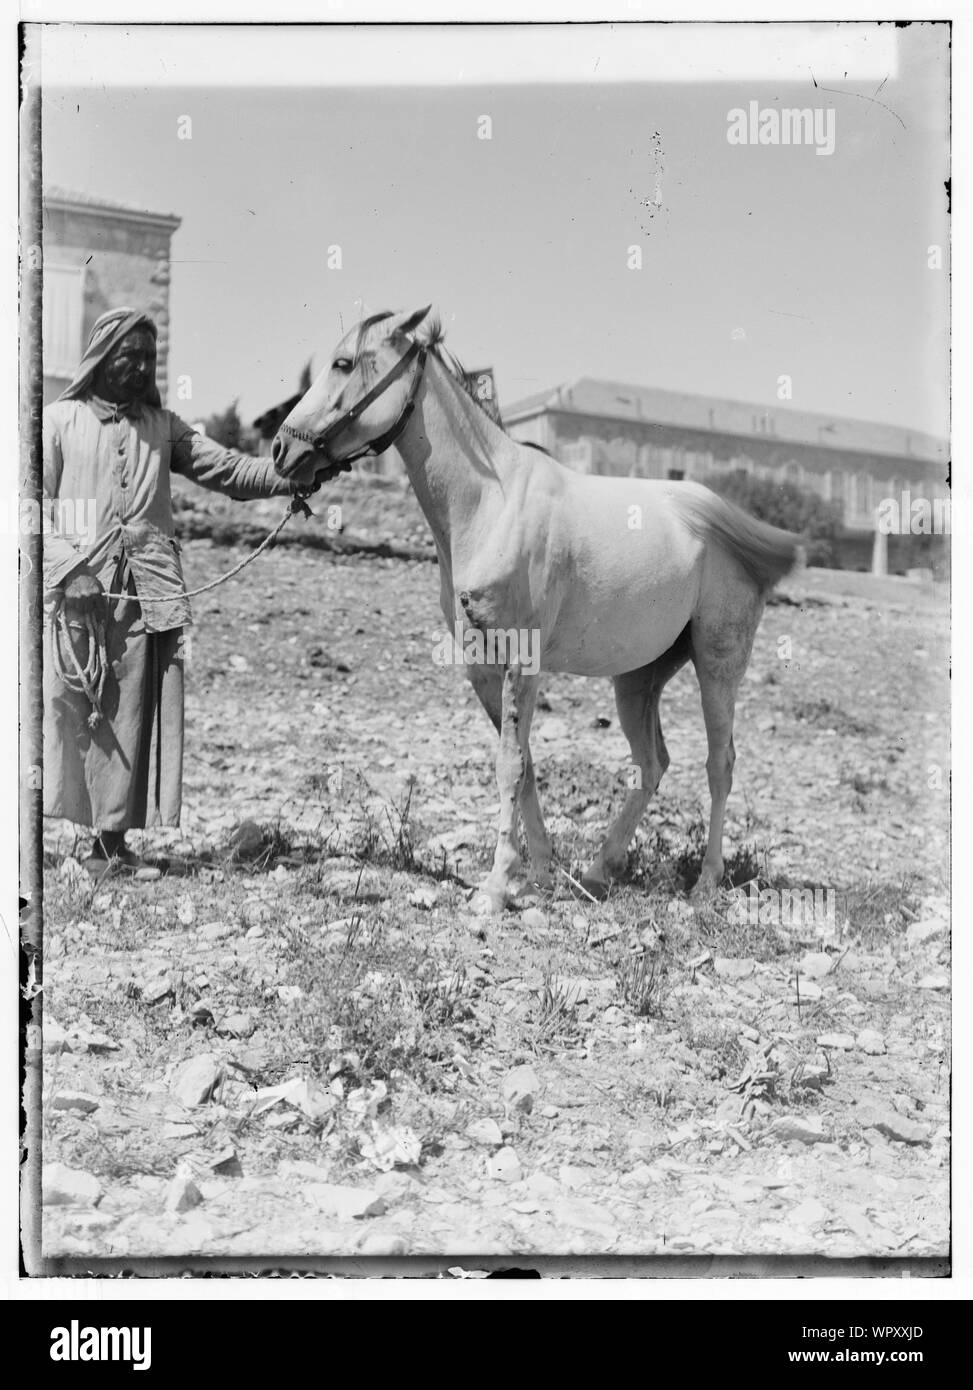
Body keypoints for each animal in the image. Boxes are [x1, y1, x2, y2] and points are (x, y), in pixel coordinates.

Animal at [272, 307, 801, 917]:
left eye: (343, 362)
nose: (281, 451)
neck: (490, 504)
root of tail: (724, 520)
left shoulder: (523, 661)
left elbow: (513, 764)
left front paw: (497, 886)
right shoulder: (481, 667)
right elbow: (521, 765)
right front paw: (541, 873)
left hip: (717, 665)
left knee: (720, 763)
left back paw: (707, 881)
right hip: (638, 678)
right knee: (652, 764)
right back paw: (599, 869)